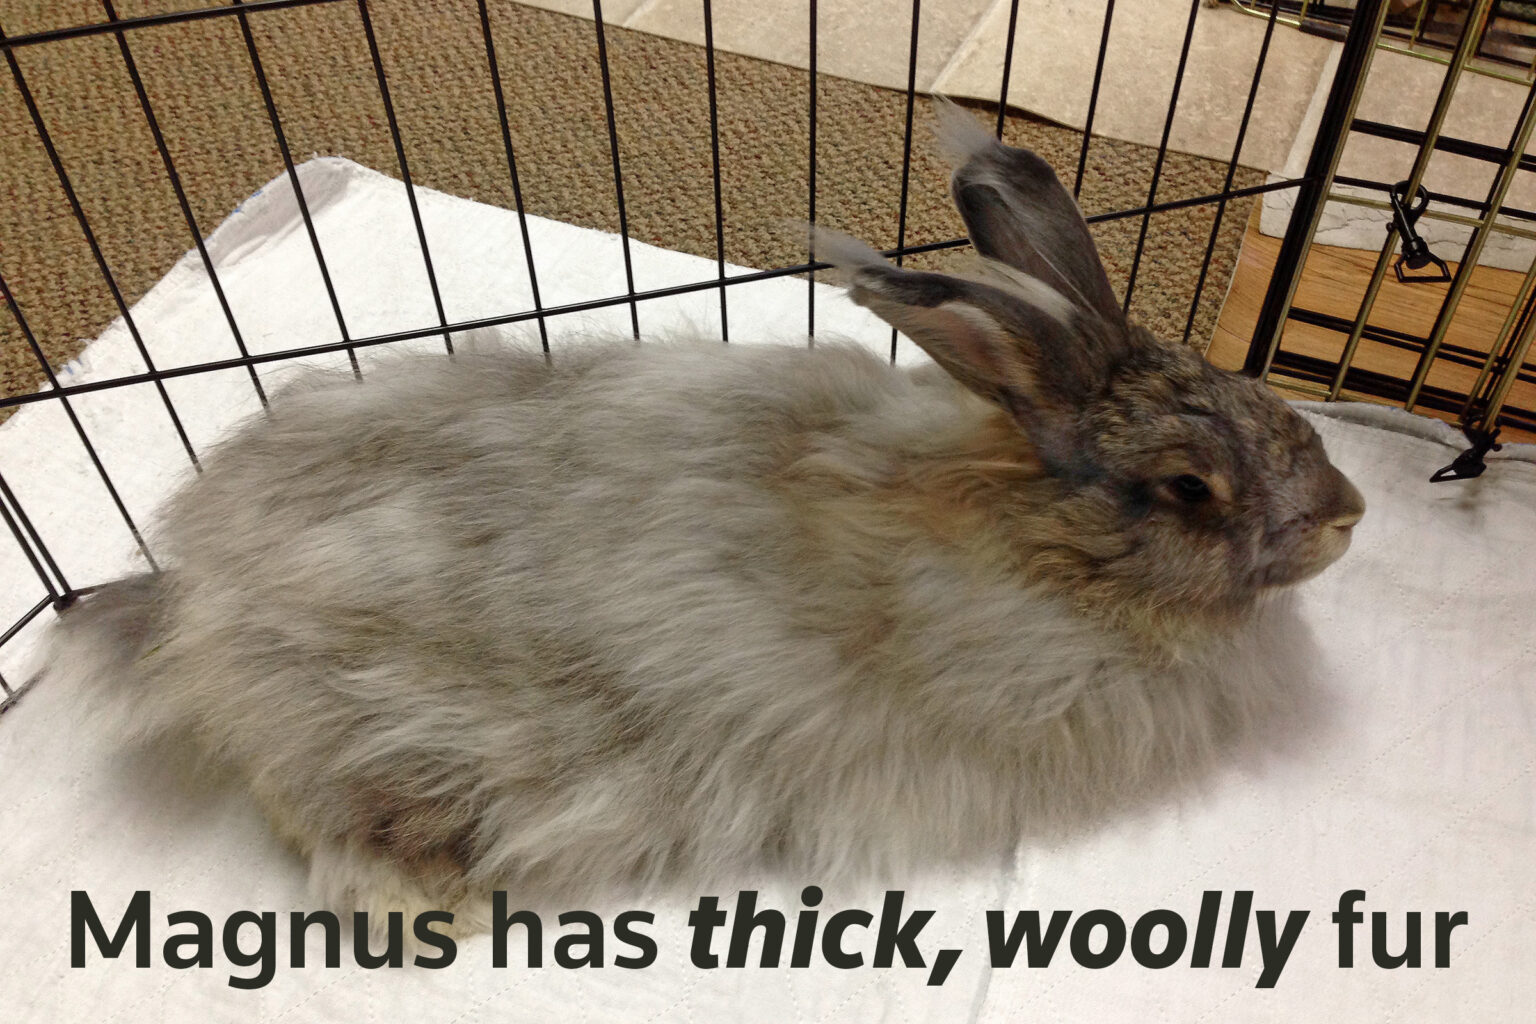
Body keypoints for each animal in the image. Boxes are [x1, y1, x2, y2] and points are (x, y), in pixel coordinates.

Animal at [47, 104, 1364, 927]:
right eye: (1190, 490)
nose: (1347, 514)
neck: (1031, 540)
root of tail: (198, 597)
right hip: (394, 731)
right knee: (319, 819)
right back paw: (436, 911)